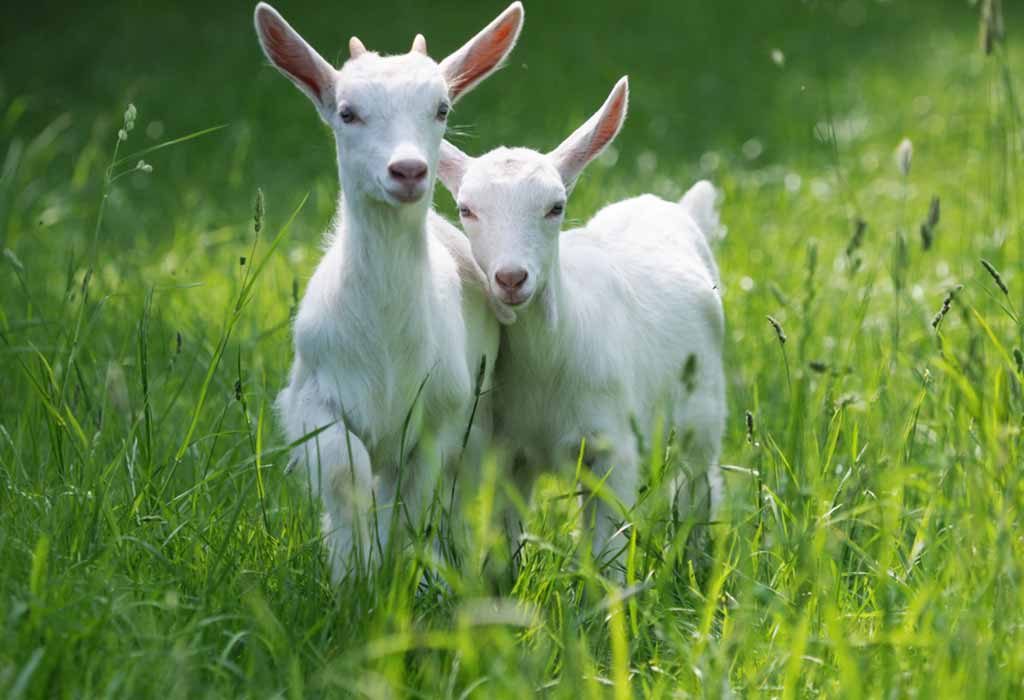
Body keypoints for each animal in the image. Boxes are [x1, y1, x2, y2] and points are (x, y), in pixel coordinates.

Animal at [253, 1, 524, 582]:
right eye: (347, 113)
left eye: (441, 109)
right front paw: (352, 571)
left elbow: (411, 499)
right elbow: (346, 473)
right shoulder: (312, 398)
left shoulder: (440, 416)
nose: (408, 170)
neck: (384, 348)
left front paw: (386, 571)